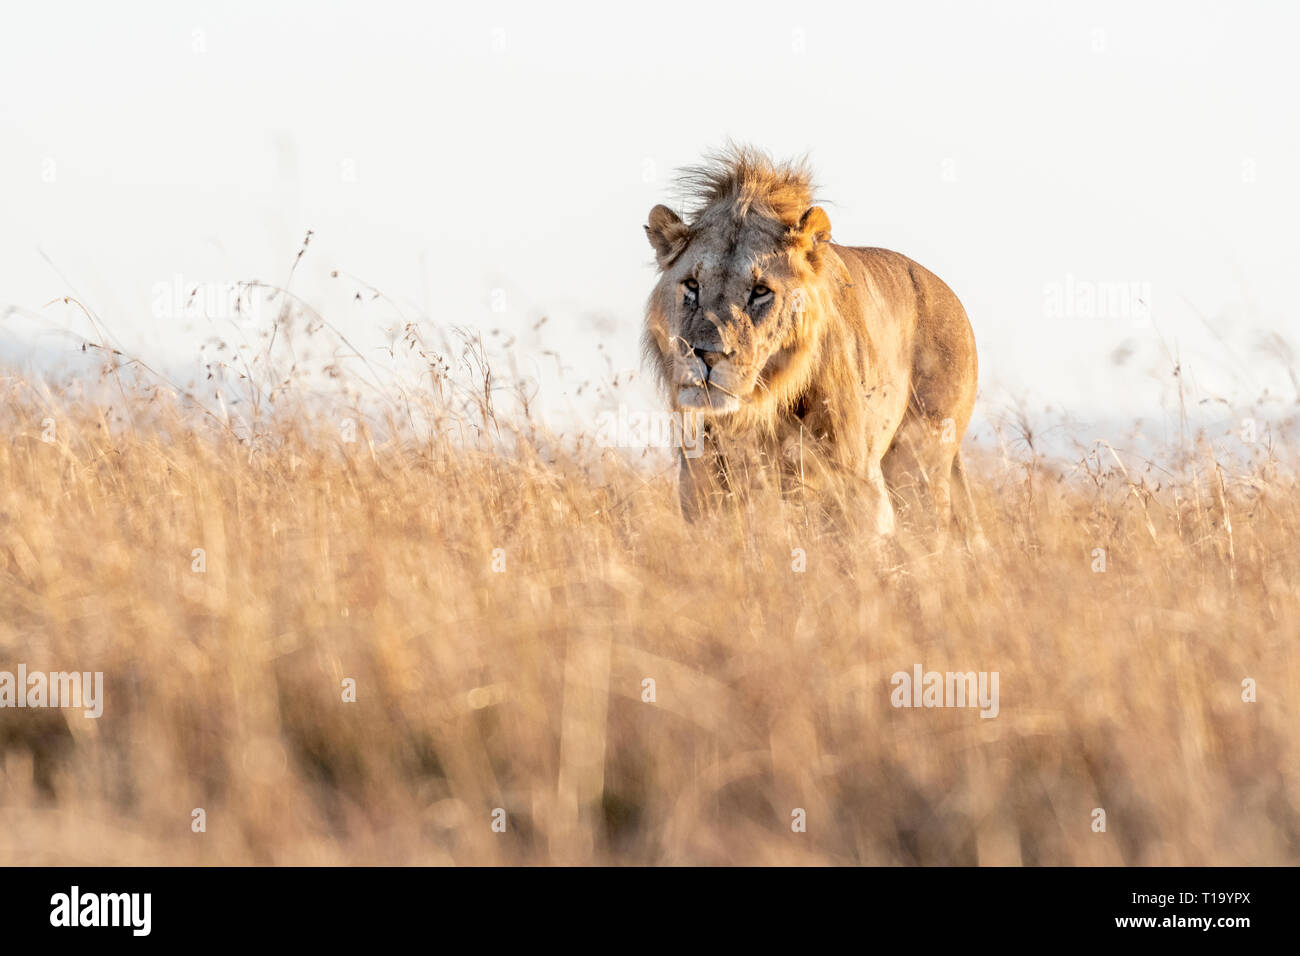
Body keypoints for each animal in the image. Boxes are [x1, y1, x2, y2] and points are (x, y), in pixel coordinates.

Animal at [642, 146, 978, 535]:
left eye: (761, 291)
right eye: (692, 285)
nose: (706, 355)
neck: (759, 410)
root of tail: (952, 298)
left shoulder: (854, 479)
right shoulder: (701, 481)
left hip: (921, 465)